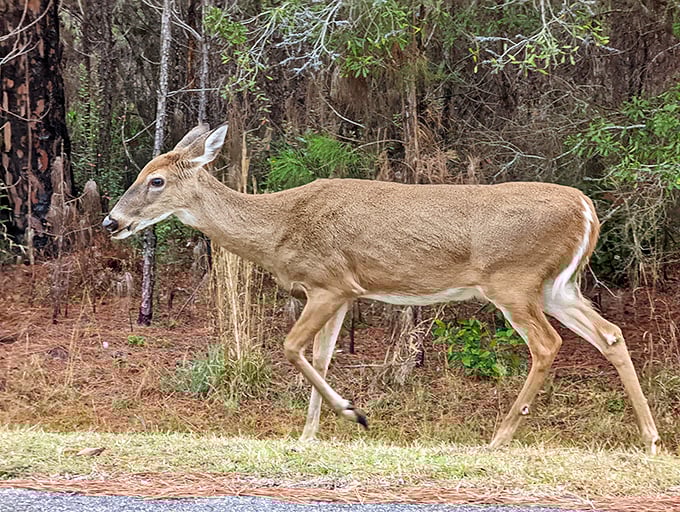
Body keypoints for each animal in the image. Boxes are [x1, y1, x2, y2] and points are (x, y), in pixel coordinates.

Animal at [103, 124, 659, 453]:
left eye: (155, 180)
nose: (111, 221)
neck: (279, 226)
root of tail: (586, 207)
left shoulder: (329, 281)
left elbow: (291, 347)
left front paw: (354, 414)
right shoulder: (341, 292)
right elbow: (321, 356)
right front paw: (309, 435)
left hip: (514, 280)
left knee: (548, 344)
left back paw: (499, 438)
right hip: (557, 287)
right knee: (610, 334)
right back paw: (651, 438)